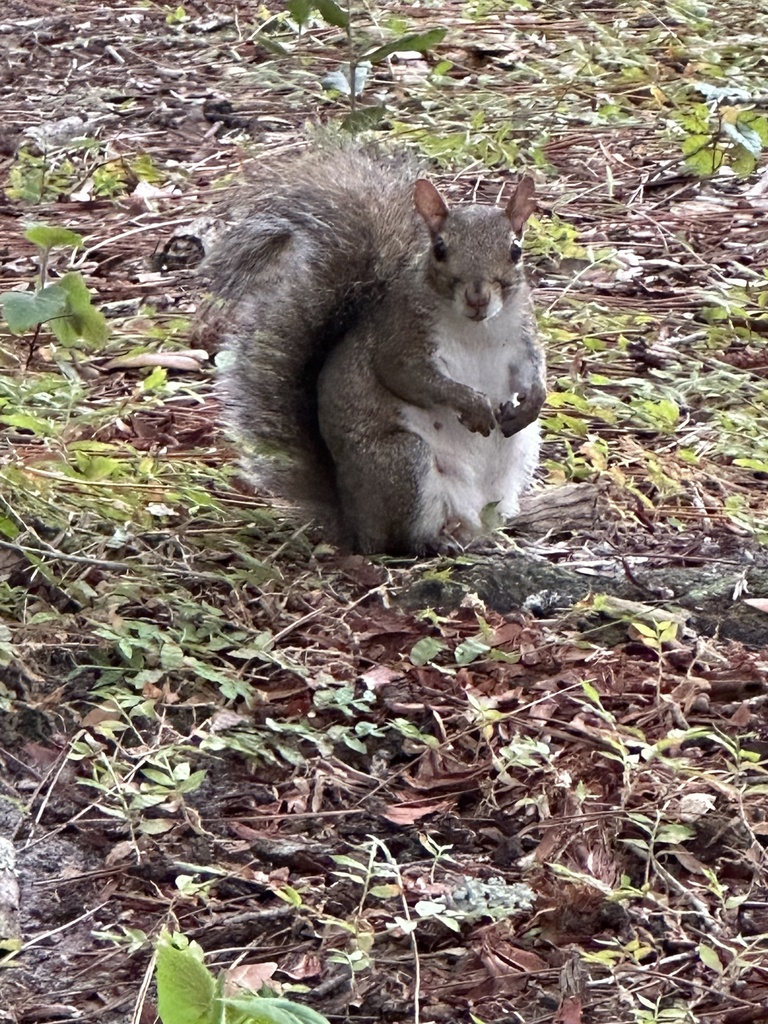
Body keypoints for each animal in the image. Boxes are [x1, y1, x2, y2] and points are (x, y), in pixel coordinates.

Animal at [204, 147, 546, 555]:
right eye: (440, 249)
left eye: (515, 250)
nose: (477, 297)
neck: (477, 328)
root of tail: (353, 522)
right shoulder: (400, 337)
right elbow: (409, 377)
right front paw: (472, 404)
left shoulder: (521, 336)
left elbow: (532, 373)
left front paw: (532, 403)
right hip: (402, 464)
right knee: (398, 541)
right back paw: (434, 542)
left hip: (518, 460)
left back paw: (489, 540)